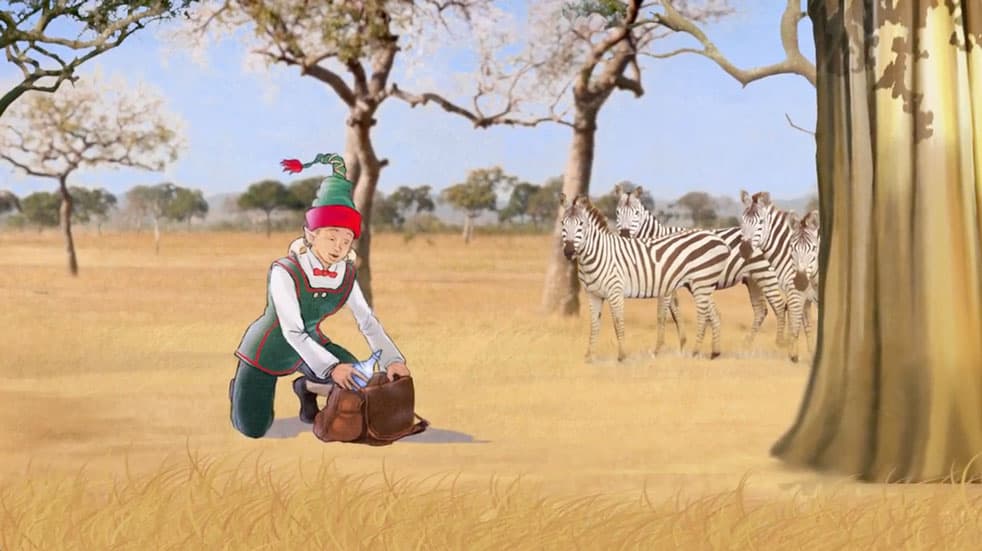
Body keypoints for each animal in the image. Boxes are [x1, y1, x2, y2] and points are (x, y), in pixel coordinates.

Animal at [560, 193, 730, 362]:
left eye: (581, 224)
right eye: (562, 223)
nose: (568, 251)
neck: (597, 254)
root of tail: (718, 239)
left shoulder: (615, 291)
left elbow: (618, 322)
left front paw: (622, 356)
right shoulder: (593, 294)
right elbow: (594, 324)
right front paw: (589, 356)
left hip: (702, 282)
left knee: (702, 316)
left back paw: (695, 353)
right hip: (702, 285)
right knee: (713, 314)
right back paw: (714, 352)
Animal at [615, 185, 789, 347]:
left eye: (636, 213)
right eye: (617, 212)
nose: (624, 235)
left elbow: (664, 313)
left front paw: (666, 345)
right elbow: (675, 311)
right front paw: (684, 342)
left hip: (766, 274)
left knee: (779, 306)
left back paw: (779, 344)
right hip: (753, 279)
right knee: (761, 310)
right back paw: (746, 344)